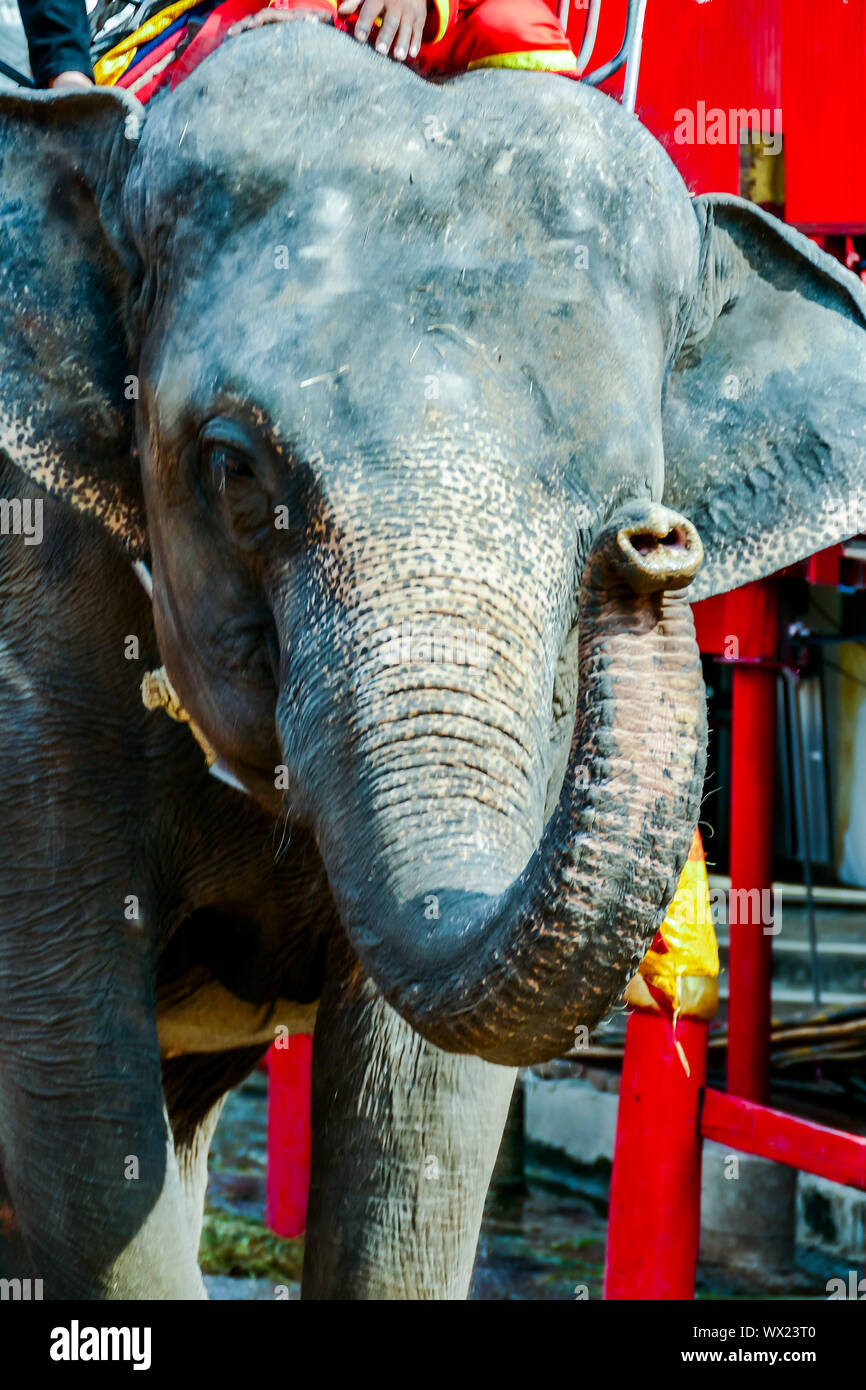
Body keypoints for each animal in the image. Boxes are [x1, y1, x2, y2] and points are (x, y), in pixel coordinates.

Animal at [0, 20, 864, 1299]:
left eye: (621, 493)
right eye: (234, 468)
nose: (651, 544)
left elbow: (420, 1127)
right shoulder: (29, 652)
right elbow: (82, 1117)